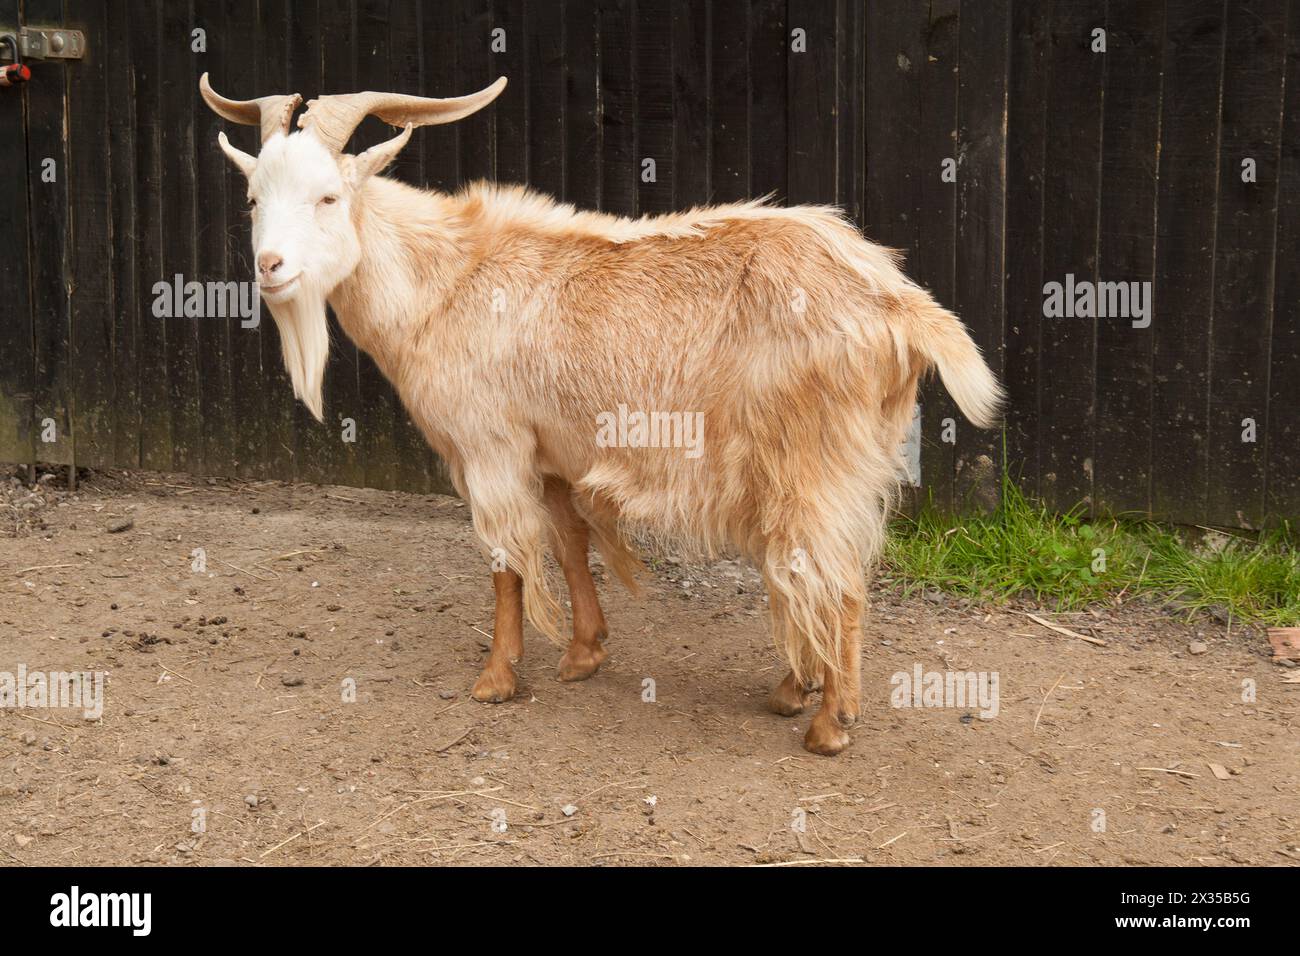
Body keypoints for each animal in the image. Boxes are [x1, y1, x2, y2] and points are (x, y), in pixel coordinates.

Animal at [199, 73, 1003, 755]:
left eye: (329, 198)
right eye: (252, 199)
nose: (270, 267)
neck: (445, 281)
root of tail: (895, 300)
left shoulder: (490, 447)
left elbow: (506, 563)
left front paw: (496, 678)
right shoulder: (551, 449)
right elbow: (569, 541)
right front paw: (585, 652)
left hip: (814, 457)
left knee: (840, 575)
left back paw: (830, 722)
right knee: (818, 566)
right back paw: (791, 689)